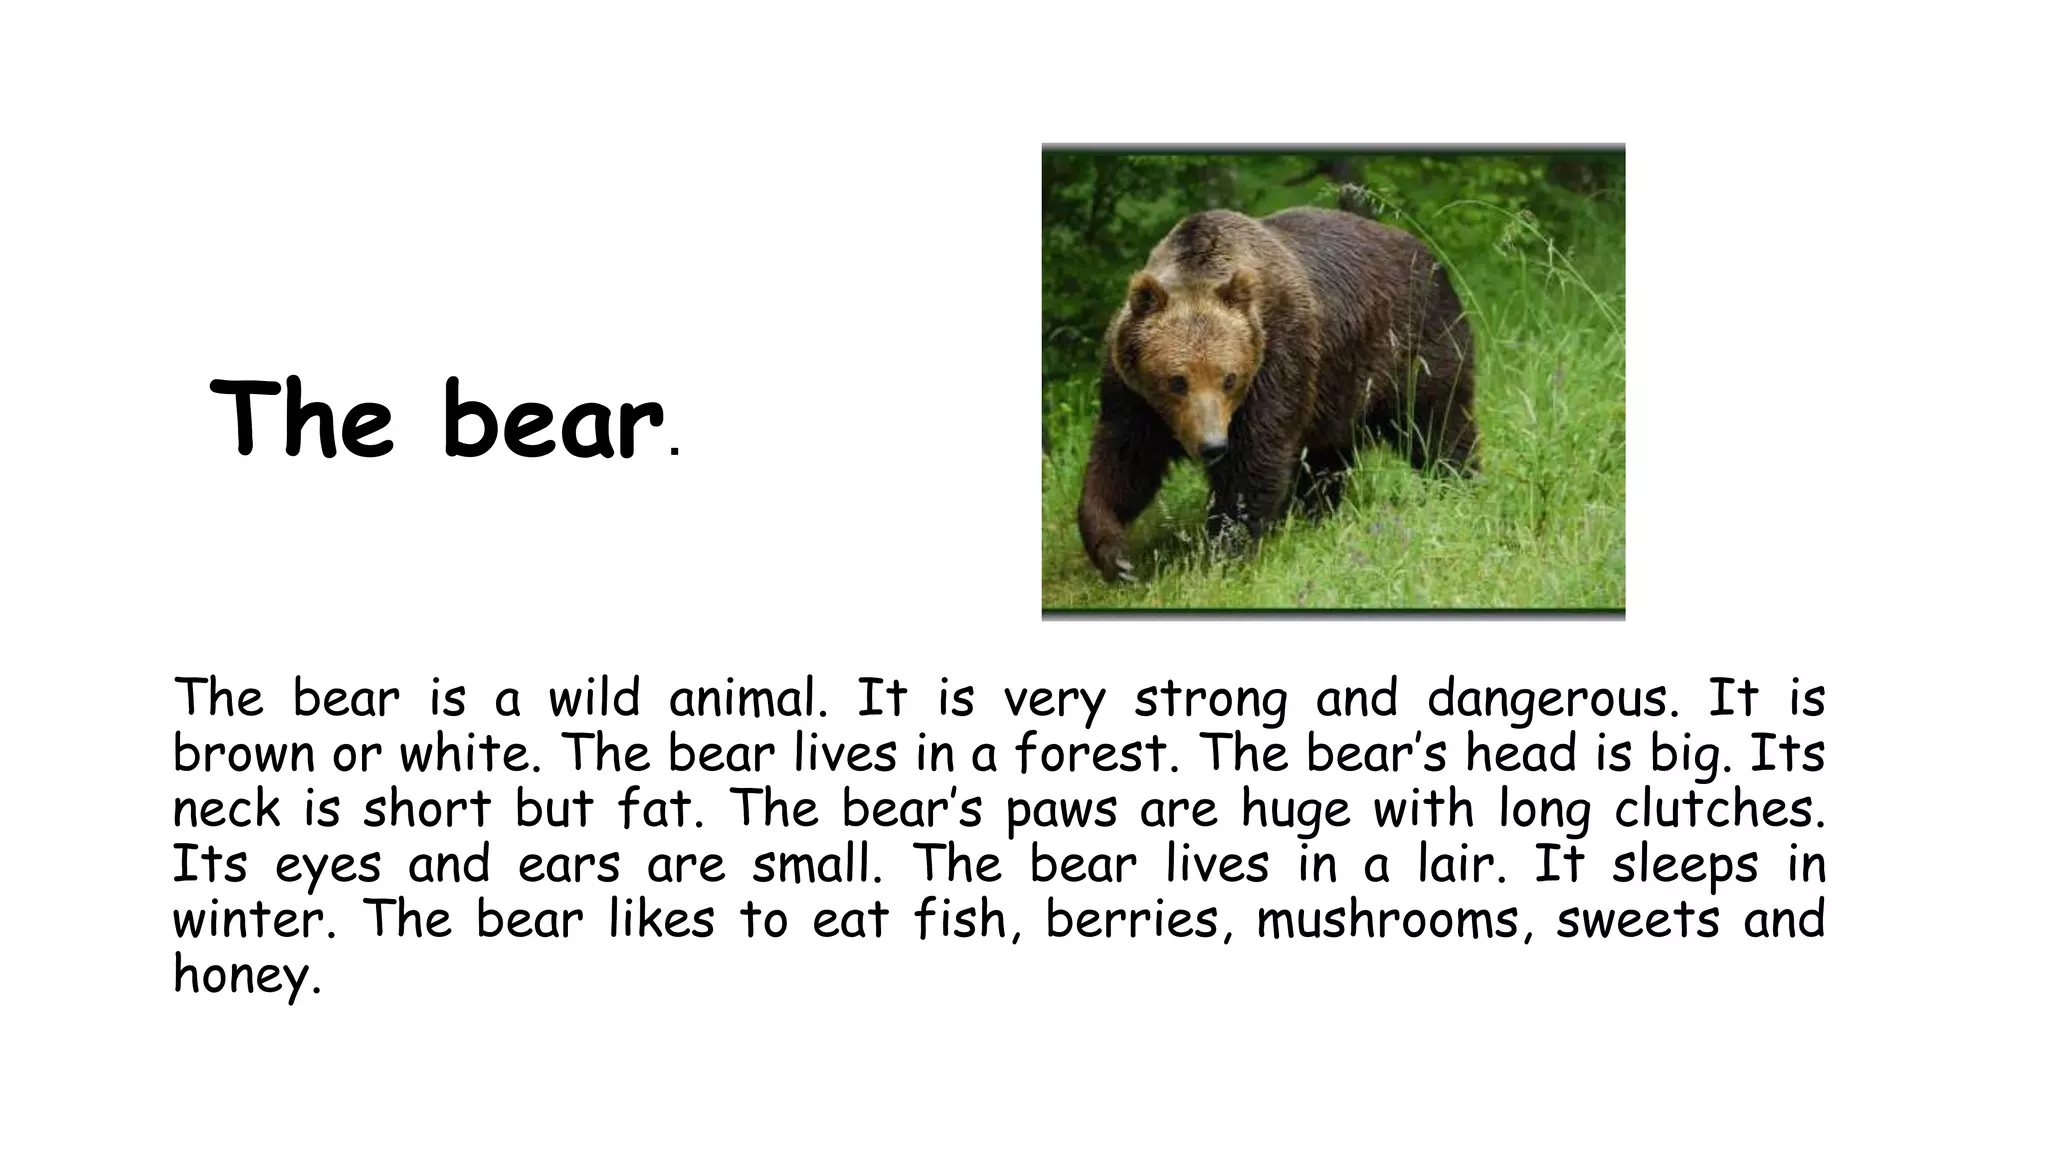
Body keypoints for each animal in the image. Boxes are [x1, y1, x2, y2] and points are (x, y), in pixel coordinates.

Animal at [1076, 206, 1478, 581]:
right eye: (1177, 381)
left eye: (1229, 378)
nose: (1212, 446)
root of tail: (1430, 256)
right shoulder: (1134, 396)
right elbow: (1124, 461)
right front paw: (1115, 555)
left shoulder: (1277, 360)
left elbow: (1255, 460)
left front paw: (1224, 552)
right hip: (1338, 392)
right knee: (1326, 459)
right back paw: (1316, 513)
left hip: (1411, 348)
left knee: (1437, 424)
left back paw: (1457, 481)